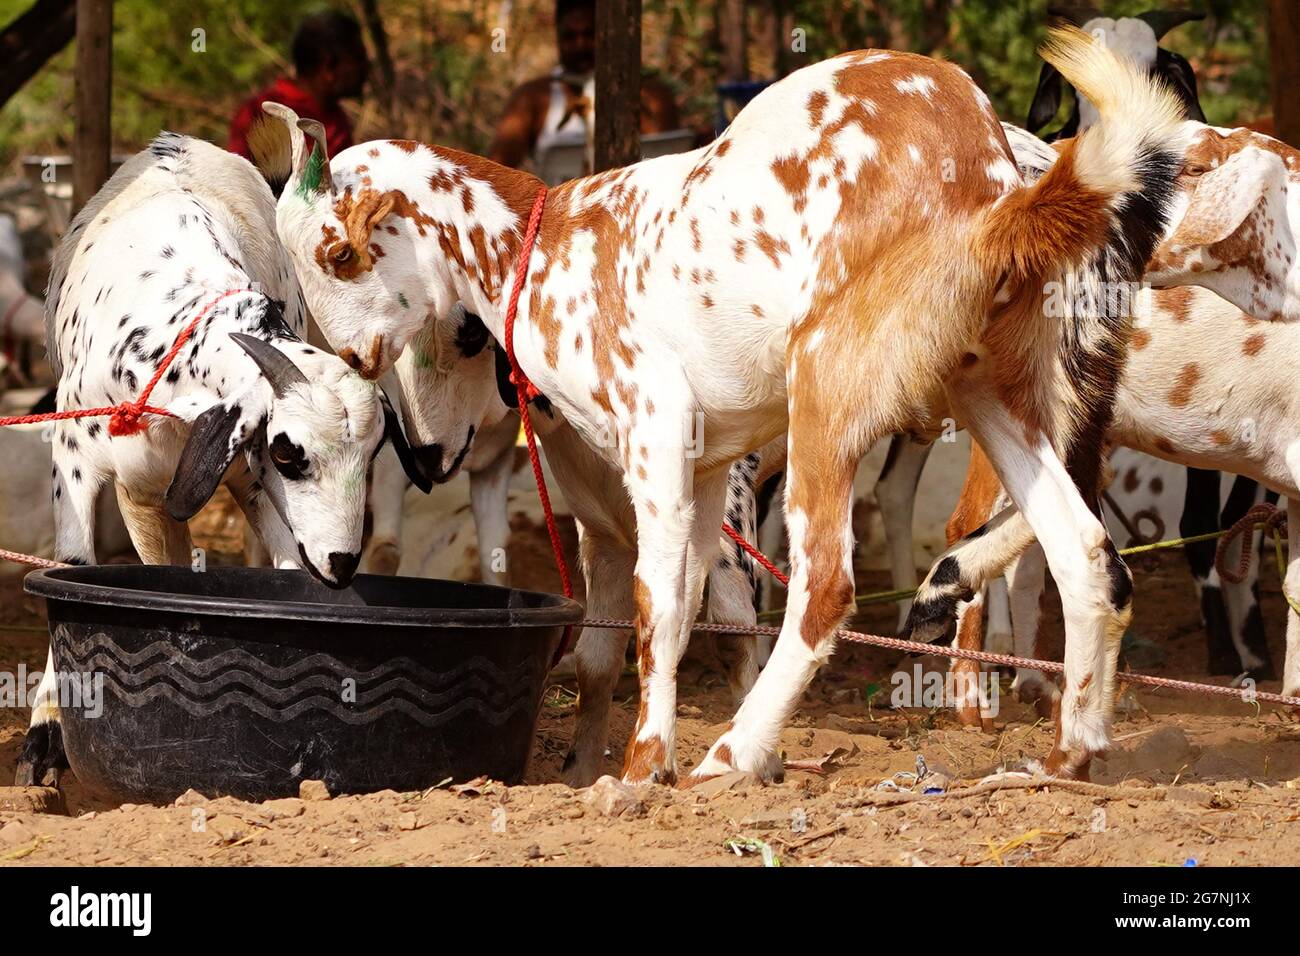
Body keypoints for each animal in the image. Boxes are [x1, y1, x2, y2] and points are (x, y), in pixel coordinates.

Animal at [14, 131, 425, 787]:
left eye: (374, 451)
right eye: (288, 451)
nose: (341, 564)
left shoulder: (243, 481)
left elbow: (282, 573)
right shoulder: (92, 463)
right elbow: (78, 568)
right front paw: (47, 731)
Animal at [260, 30, 1189, 782]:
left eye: (336, 254)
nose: (354, 359)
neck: (549, 241)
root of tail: (990, 184)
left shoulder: (655, 433)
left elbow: (657, 609)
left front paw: (642, 768)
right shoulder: (705, 471)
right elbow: (676, 618)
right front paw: (640, 761)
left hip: (829, 390)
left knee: (826, 586)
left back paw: (734, 753)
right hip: (996, 390)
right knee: (1087, 555)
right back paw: (1068, 753)